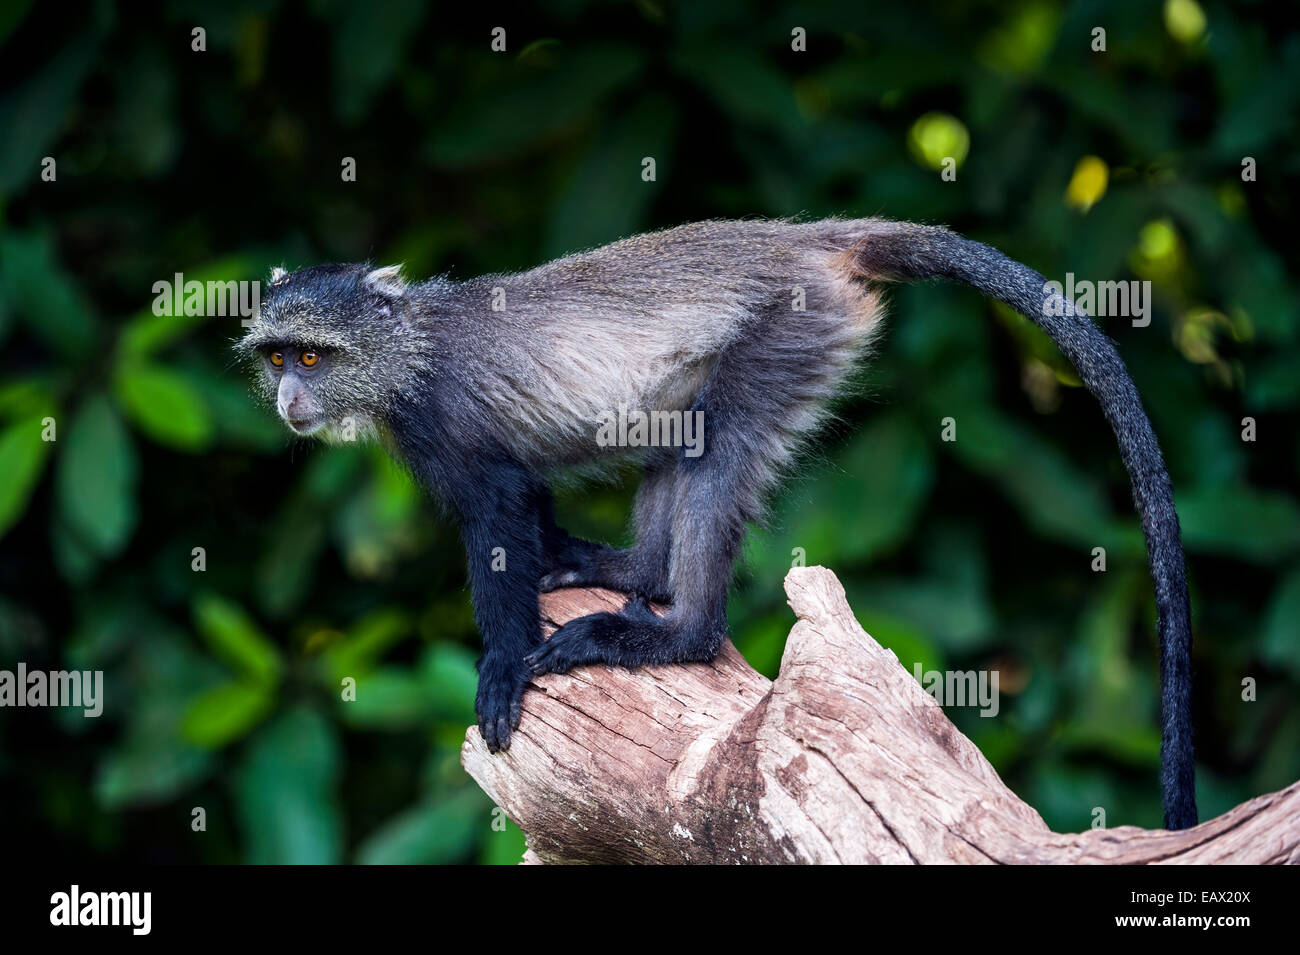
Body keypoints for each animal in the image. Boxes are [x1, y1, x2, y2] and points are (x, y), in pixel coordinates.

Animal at [236, 218, 1197, 830]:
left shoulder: (451, 433)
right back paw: (639, 577)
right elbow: (532, 503)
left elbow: (503, 512)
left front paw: (503, 668)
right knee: (686, 433)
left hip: (794, 332)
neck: (411, 349)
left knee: (719, 448)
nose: (288, 403)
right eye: (278, 357)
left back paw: (679, 631)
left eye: (314, 355)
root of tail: (803, 238)